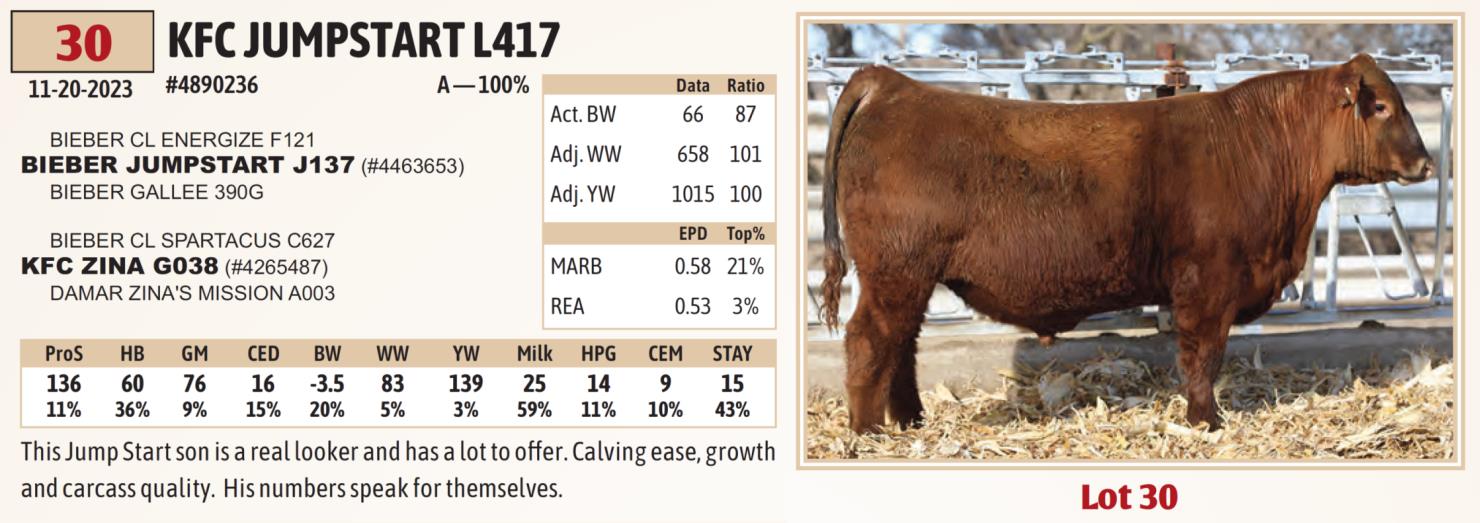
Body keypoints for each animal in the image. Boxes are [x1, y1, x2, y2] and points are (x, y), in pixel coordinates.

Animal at [820, 54, 1434, 433]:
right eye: (1381, 107)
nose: (1426, 164)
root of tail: (892, 84)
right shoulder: (1207, 283)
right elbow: (1203, 356)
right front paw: (1205, 422)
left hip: (909, 278)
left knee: (901, 344)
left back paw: (911, 421)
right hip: (896, 271)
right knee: (870, 340)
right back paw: (869, 432)